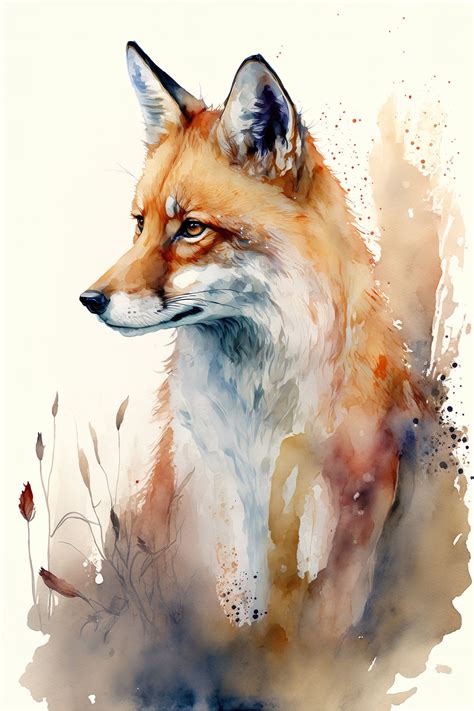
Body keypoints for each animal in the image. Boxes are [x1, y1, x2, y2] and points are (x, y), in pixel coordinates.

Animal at [80, 42, 423, 643]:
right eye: (140, 224)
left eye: (191, 229)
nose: (90, 300)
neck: (261, 416)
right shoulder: (218, 491)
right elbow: (236, 602)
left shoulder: (354, 492)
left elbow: (330, 610)